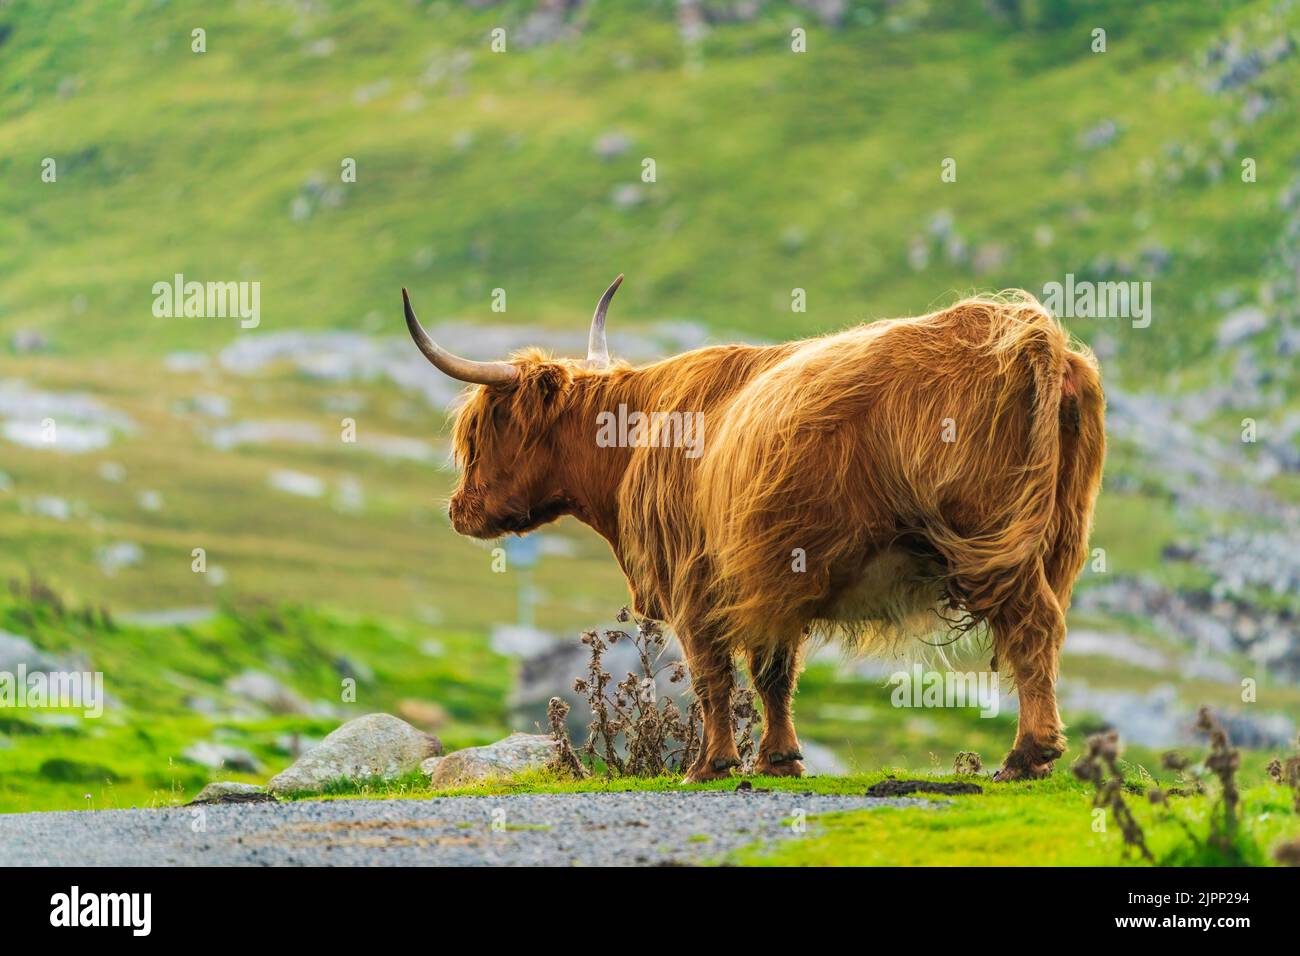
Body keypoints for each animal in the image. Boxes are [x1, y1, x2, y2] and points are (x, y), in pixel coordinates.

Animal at [402, 277, 1105, 782]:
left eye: (479, 432)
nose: (458, 510)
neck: (632, 438)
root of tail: (1025, 331)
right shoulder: (771, 574)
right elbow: (773, 675)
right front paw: (780, 760)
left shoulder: (696, 580)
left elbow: (713, 676)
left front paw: (710, 765)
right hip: (1054, 541)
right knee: (1045, 632)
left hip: (990, 543)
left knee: (1030, 626)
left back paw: (1027, 756)